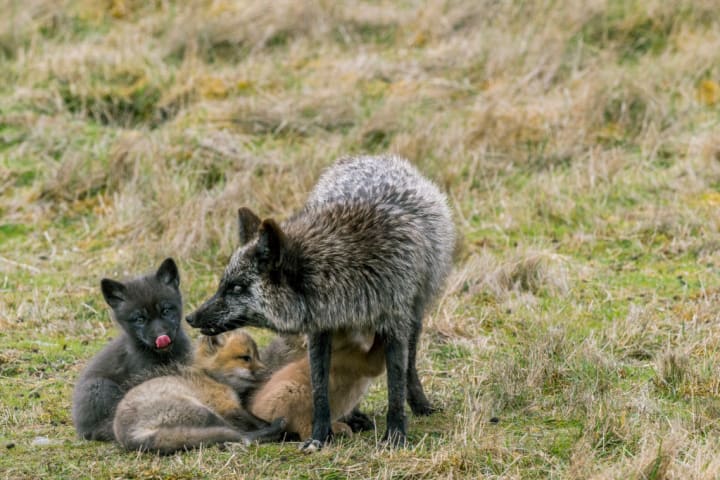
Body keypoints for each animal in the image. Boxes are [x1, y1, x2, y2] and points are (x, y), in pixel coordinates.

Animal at [72, 258, 192, 441]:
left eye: (166, 311)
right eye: (139, 319)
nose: (162, 337)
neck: (165, 355)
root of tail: (79, 426)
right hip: (100, 386)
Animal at [113, 330, 286, 454]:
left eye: (257, 356)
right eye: (245, 358)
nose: (269, 371)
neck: (212, 377)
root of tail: (130, 436)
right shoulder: (227, 407)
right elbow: (255, 421)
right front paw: (269, 425)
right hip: (204, 412)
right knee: (239, 434)